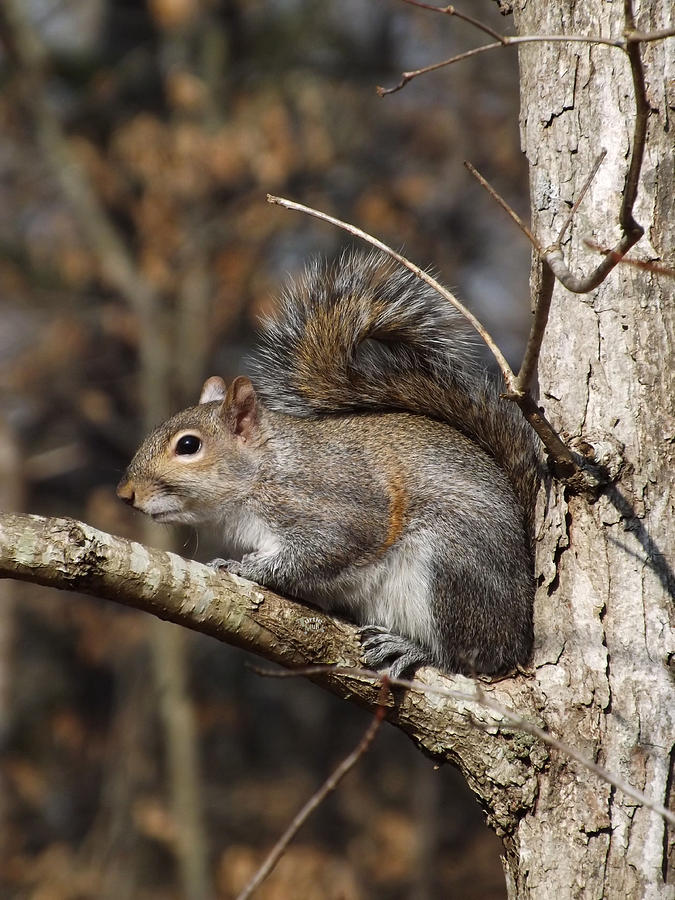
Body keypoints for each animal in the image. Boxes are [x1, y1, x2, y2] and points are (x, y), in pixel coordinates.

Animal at [117, 250, 539, 678]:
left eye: (188, 445)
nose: (125, 493)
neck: (266, 471)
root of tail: (519, 631)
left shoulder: (335, 506)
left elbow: (326, 550)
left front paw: (249, 568)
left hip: (451, 566)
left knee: (470, 656)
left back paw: (415, 649)